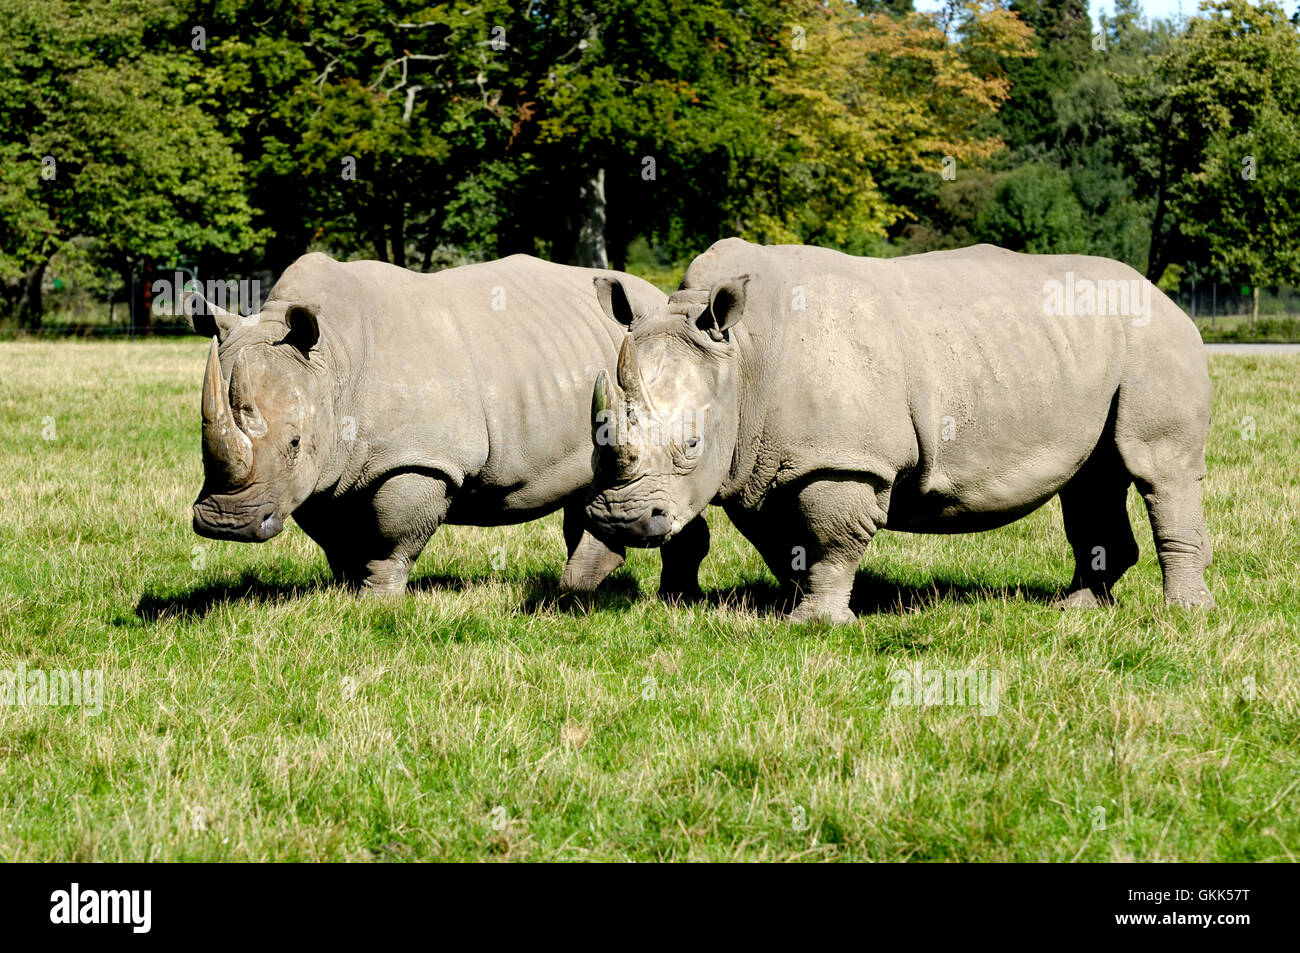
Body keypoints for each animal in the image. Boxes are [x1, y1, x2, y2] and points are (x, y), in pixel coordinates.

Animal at [187, 252, 710, 596]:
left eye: (294, 442)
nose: (226, 524)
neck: (332, 360)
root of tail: (657, 296)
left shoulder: (419, 459)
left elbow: (392, 537)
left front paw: (377, 602)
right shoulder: (325, 468)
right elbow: (335, 538)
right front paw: (345, 594)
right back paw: (595, 590)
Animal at [585, 238, 1215, 622]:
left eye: (691, 445)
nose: (620, 520)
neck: (743, 357)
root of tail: (1165, 296)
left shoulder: (841, 459)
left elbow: (830, 537)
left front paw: (818, 622)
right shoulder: (756, 461)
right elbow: (784, 542)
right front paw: (796, 606)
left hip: (1154, 338)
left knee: (1159, 471)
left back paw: (1184, 613)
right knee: (1092, 480)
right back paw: (1078, 609)